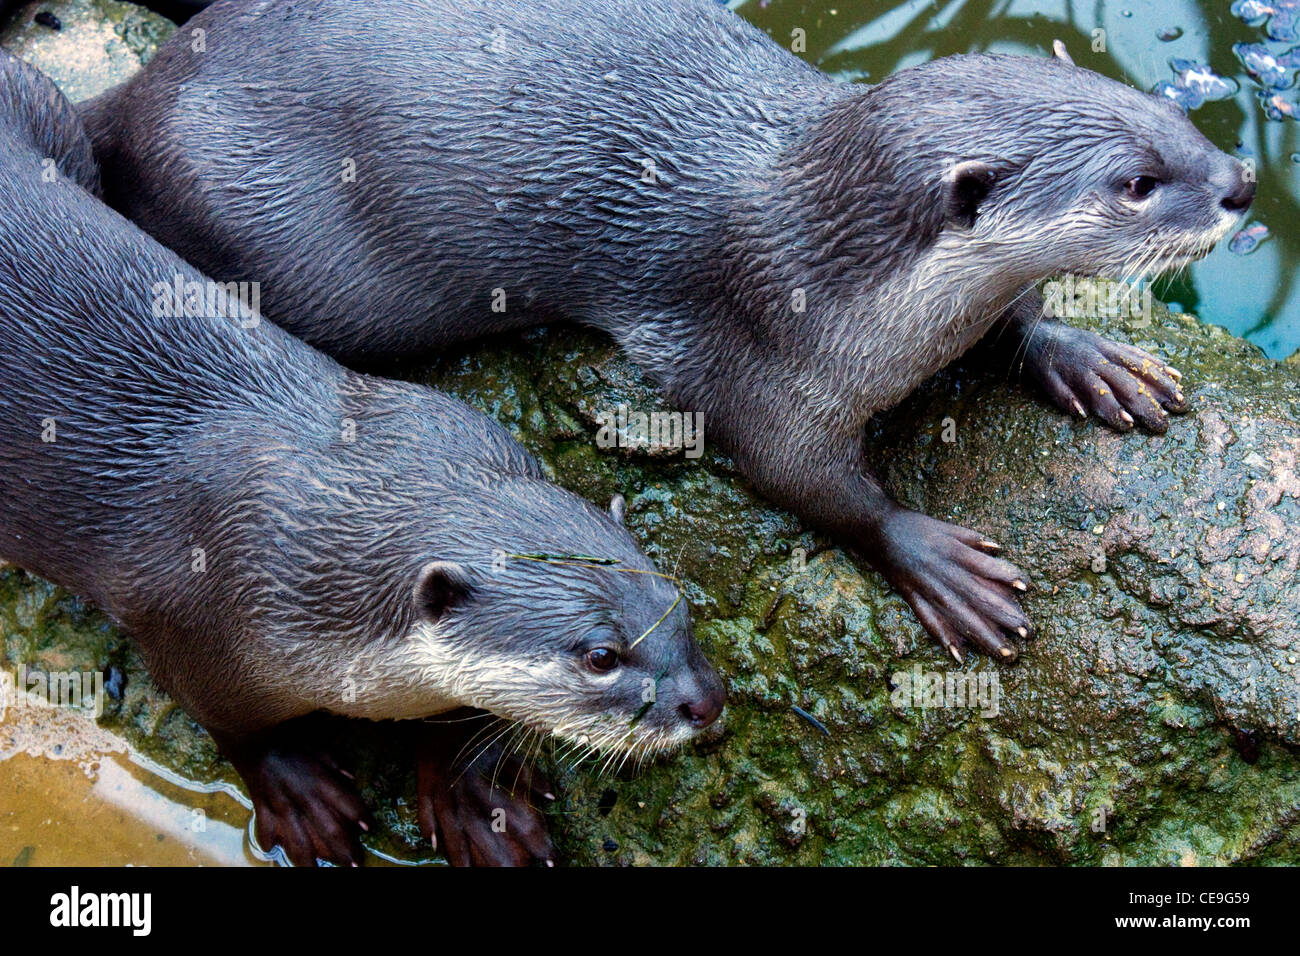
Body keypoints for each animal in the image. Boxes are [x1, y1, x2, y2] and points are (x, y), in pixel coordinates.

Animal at [0, 48, 723, 867]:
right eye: (600, 656)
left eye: (679, 603)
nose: (706, 701)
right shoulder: (193, 625)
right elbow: (236, 726)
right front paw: (299, 793)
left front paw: (475, 799)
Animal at [80, 0, 1255, 662]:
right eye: (1136, 182)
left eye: (1175, 117)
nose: (1242, 182)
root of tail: (139, 92)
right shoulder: (762, 350)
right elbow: (803, 476)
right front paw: (931, 555)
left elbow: (1017, 318)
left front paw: (1089, 357)